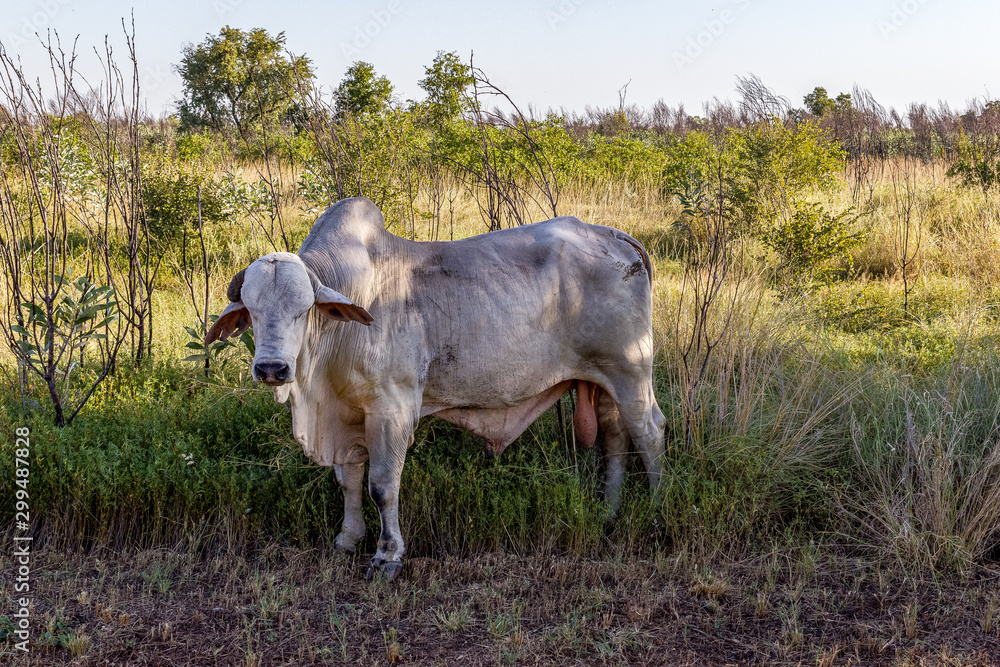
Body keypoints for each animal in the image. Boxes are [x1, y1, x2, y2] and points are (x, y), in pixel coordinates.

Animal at [206, 197, 665, 580]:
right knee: (615, 437)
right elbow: (348, 479)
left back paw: (657, 506)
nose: (271, 368)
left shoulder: (391, 409)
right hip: (604, 381)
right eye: (252, 310)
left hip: (631, 371)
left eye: (304, 310)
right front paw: (348, 539)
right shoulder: (347, 414)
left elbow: (381, 485)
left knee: (649, 433)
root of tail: (612, 234)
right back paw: (609, 511)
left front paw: (387, 555)